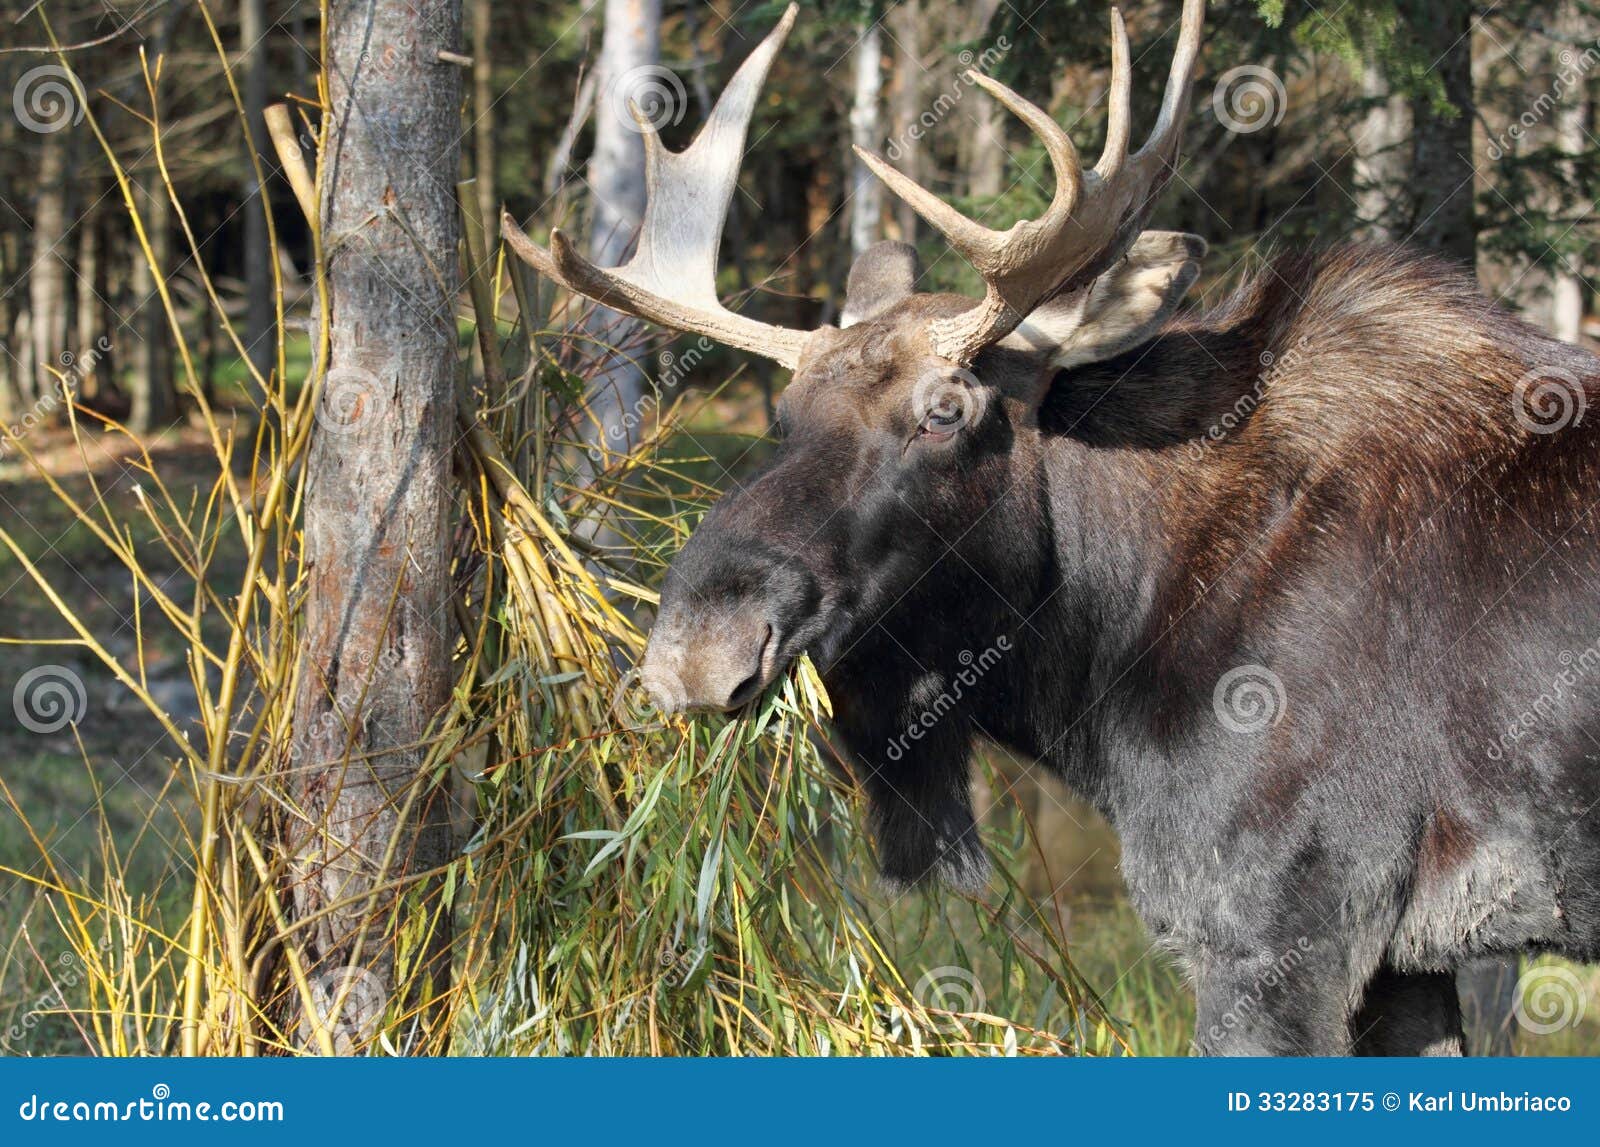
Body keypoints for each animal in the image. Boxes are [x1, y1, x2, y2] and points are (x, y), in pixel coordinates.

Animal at [505, 0, 1600, 1055]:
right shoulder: (1405, 961)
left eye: (947, 411)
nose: (697, 646)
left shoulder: (1277, 925)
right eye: (783, 414)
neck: (1112, 648)